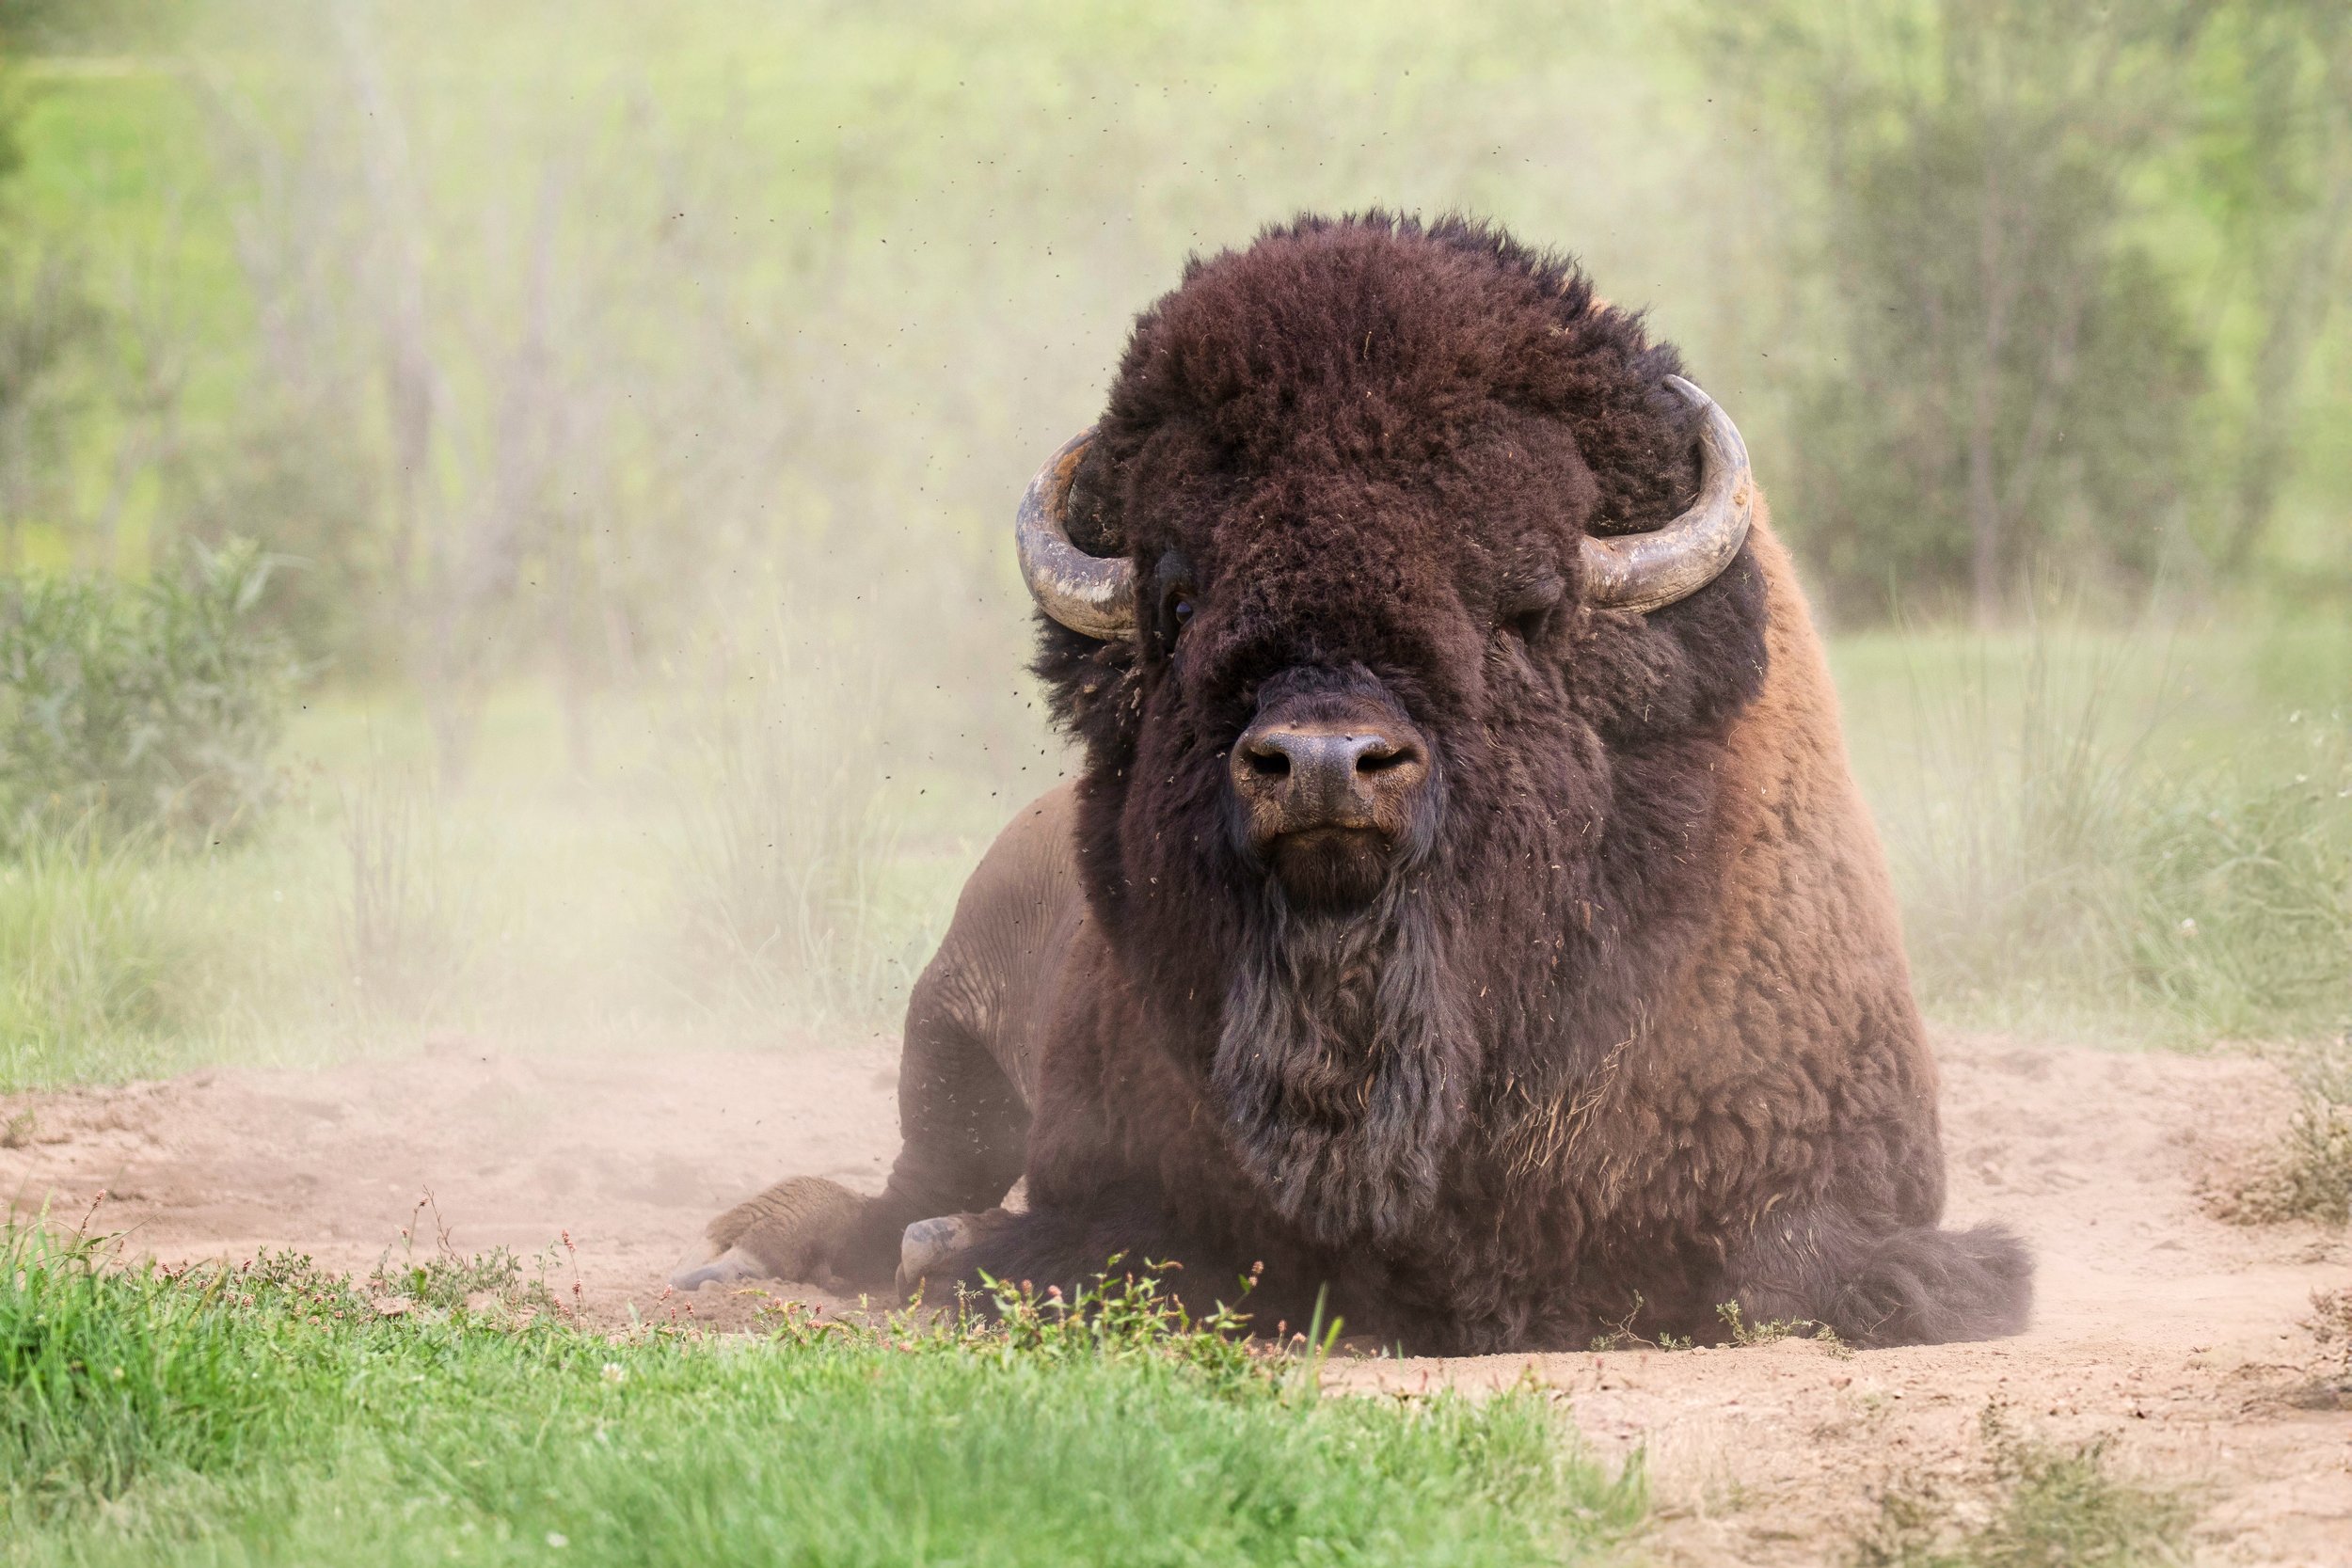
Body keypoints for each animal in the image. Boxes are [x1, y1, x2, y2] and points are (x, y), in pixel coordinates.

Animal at [675, 213, 2032, 1352]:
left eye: (1524, 600)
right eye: (1179, 599)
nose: (1325, 761)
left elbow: (1835, 1274)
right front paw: (952, 1254)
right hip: (941, 1030)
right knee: (911, 1185)